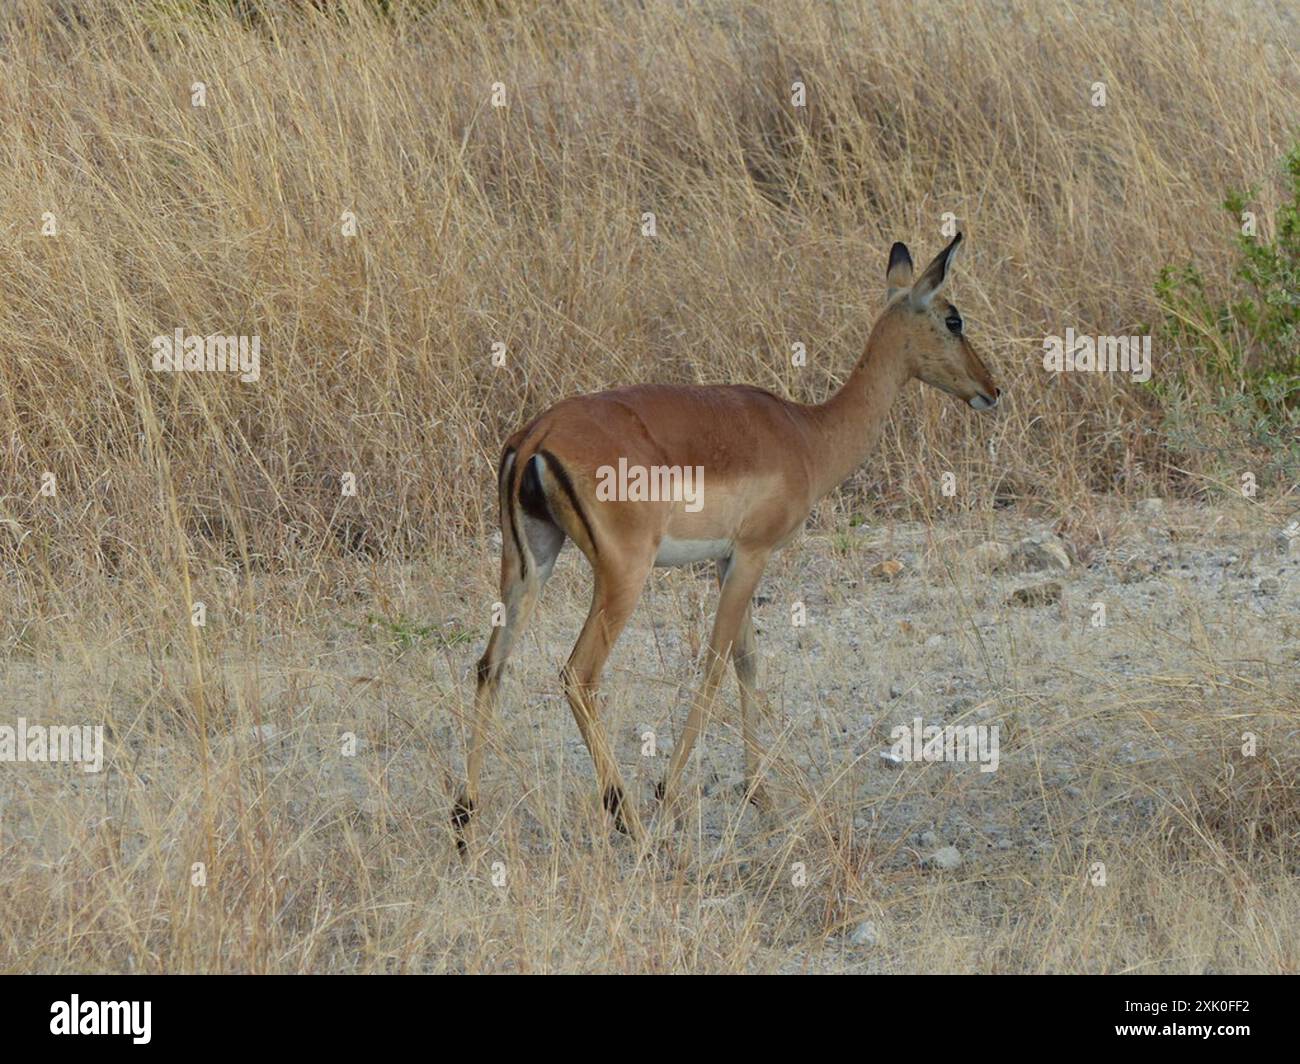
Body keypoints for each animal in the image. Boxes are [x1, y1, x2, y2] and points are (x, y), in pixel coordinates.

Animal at [454, 233, 999, 845]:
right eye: (953, 318)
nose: (991, 389)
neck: (809, 434)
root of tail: (536, 436)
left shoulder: (726, 561)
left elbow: (746, 660)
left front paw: (761, 794)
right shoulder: (753, 555)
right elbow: (716, 663)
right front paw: (669, 789)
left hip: (529, 563)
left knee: (490, 664)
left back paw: (465, 819)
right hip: (622, 576)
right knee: (578, 673)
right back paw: (627, 818)